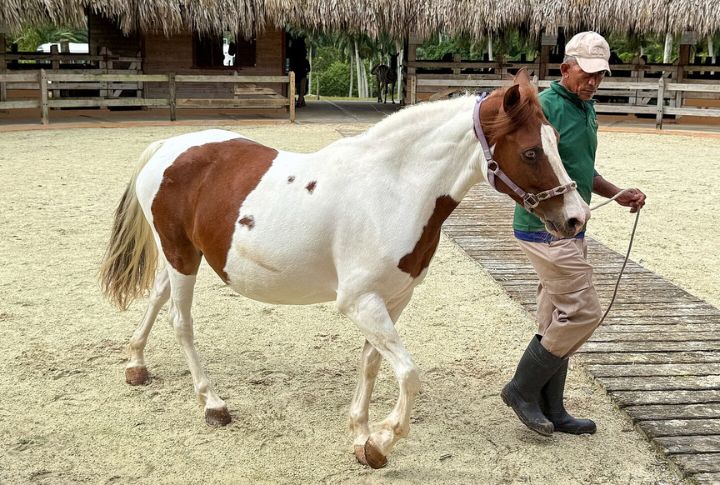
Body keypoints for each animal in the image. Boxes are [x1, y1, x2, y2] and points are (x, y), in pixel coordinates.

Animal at [100, 69, 589, 469]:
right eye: (531, 152)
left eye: (555, 144)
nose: (575, 218)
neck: (391, 189)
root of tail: (168, 146)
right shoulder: (358, 301)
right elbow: (408, 375)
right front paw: (382, 442)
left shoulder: (392, 299)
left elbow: (371, 364)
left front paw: (361, 436)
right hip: (182, 255)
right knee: (180, 321)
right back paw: (212, 403)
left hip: (180, 255)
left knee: (157, 296)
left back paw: (136, 365)